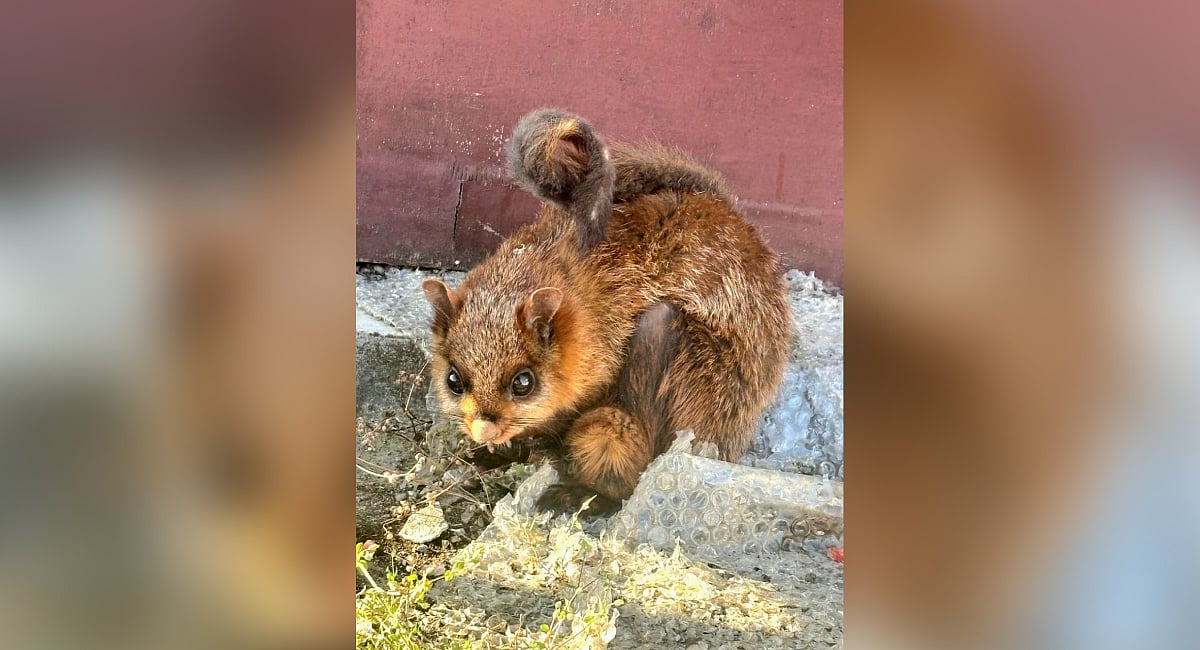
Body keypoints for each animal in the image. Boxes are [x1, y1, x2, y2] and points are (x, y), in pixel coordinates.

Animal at [421, 109, 790, 515]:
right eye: (453, 380)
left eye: (523, 383)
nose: (484, 432)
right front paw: (494, 450)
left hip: (677, 376)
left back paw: (578, 491)